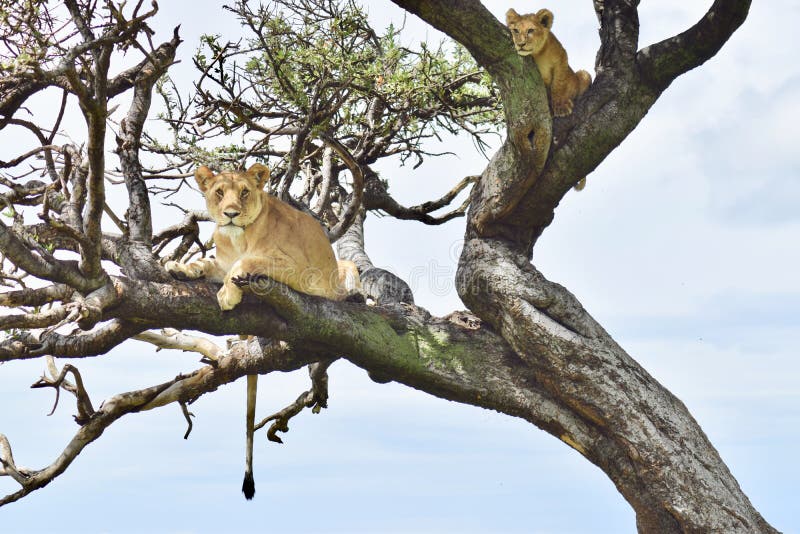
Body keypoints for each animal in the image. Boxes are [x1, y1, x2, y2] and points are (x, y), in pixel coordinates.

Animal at [165, 163, 361, 500]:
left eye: (244, 192)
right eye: (219, 192)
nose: (231, 213)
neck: (236, 237)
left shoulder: (297, 267)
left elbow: (247, 260)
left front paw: (227, 294)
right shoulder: (222, 261)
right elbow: (207, 261)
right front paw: (180, 267)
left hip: (341, 269)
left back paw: (358, 297)